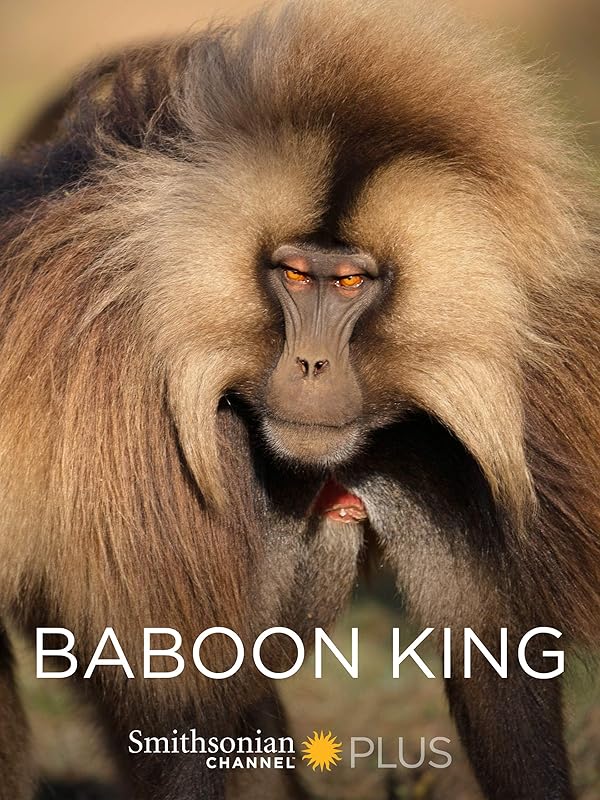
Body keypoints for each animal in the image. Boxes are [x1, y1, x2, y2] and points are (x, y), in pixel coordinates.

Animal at [0, 1, 599, 799]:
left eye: (348, 282)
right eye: (292, 273)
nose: (311, 366)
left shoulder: (436, 450)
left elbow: (498, 668)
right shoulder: (129, 439)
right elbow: (176, 696)